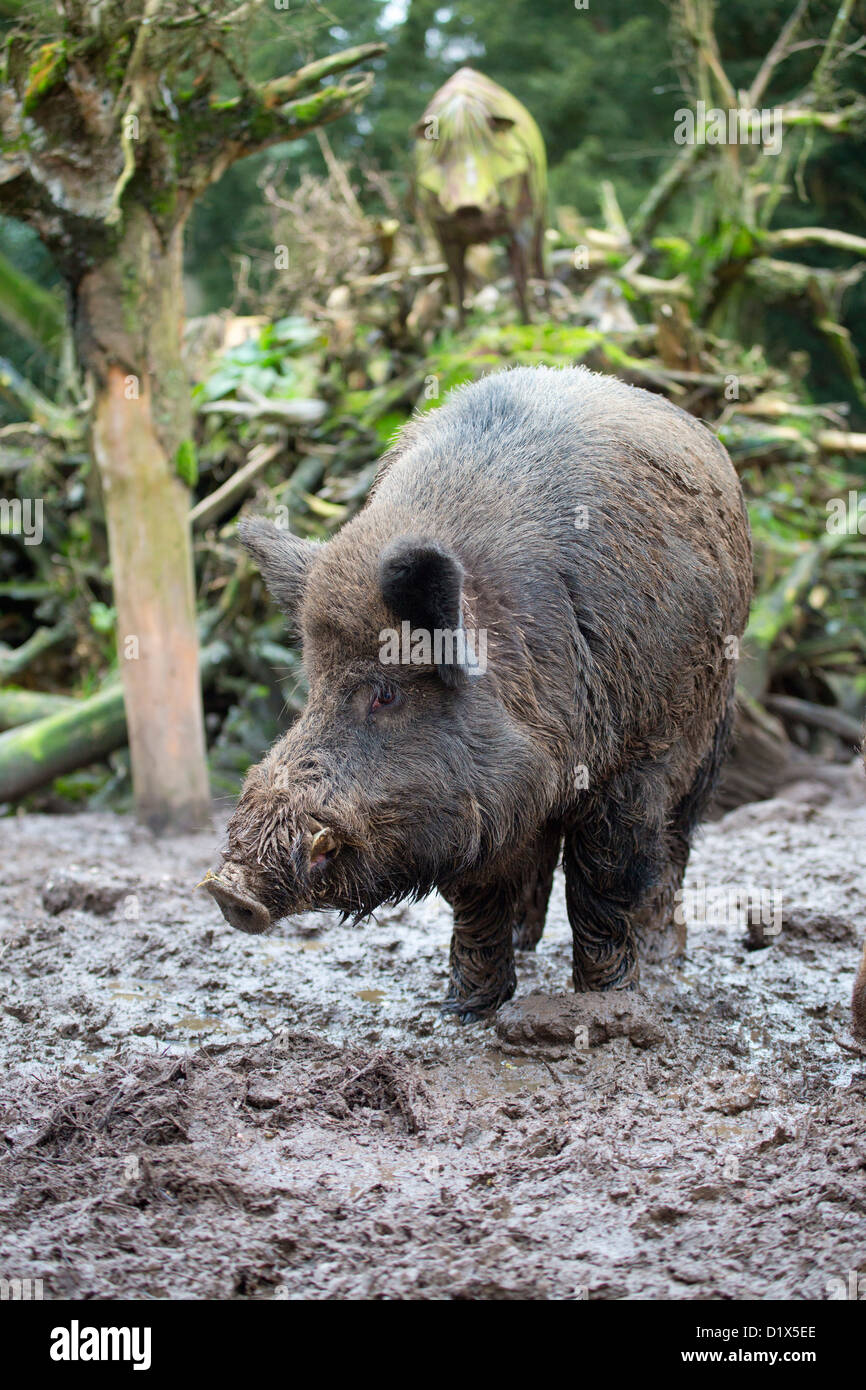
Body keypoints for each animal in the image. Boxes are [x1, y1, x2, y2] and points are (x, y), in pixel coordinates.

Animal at [205, 365, 753, 1020]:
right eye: (313, 685)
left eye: (385, 694)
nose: (229, 891)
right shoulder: (467, 806)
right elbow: (477, 894)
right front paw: (463, 1009)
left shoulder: (633, 761)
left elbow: (603, 878)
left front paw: (606, 1001)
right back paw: (525, 940)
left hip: (711, 724)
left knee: (675, 841)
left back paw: (662, 953)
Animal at [413, 67, 547, 323]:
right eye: (444, 149)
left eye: (489, 144)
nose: (468, 206)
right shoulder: (443, 231)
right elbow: (456, 280)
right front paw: (461, 328)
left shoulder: (521, 220)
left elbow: (521, 274)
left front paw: (529, 323)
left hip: (540, 212)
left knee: (537, 255)